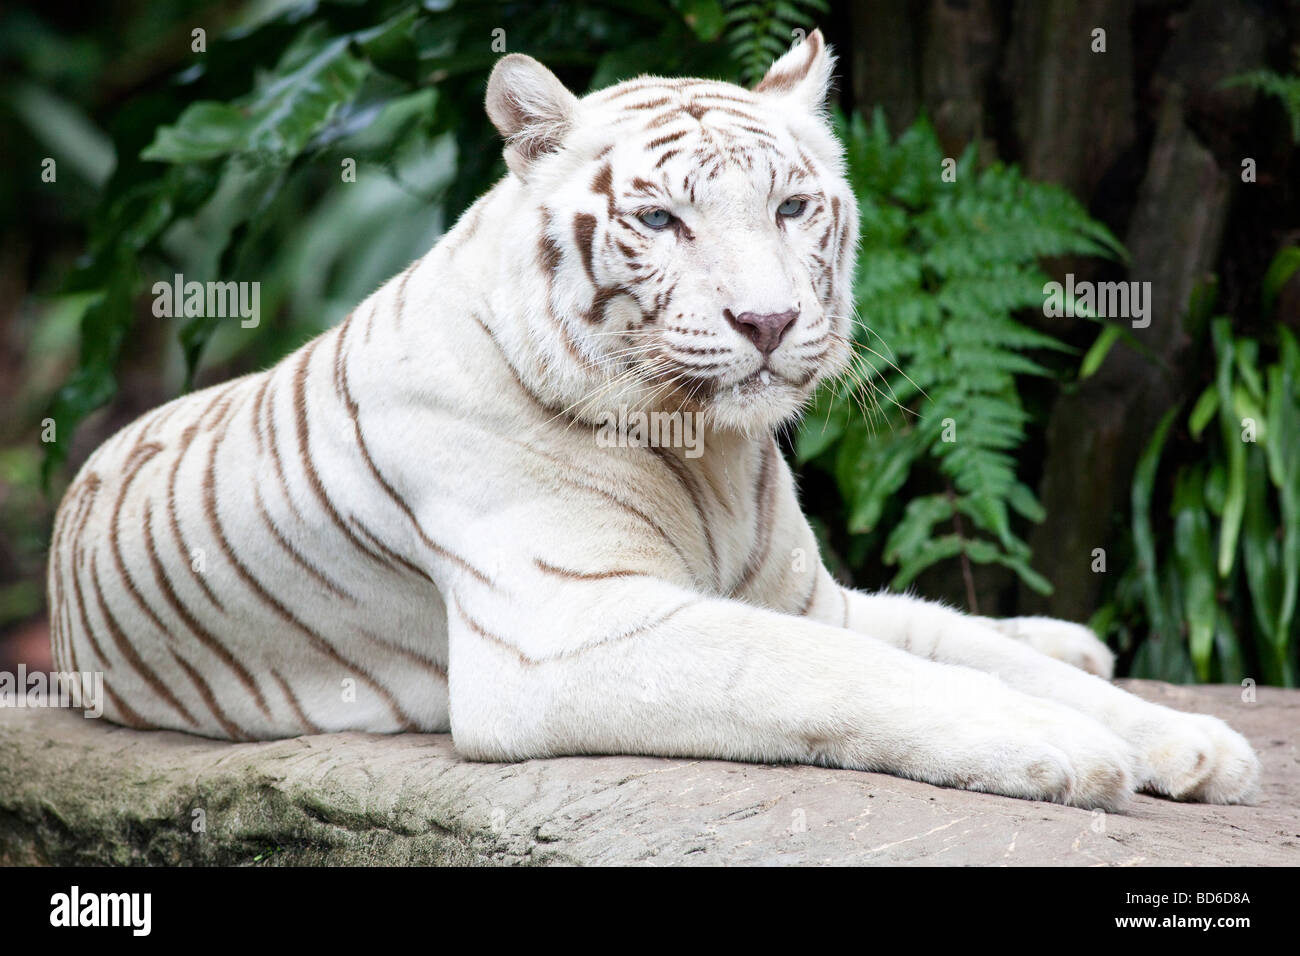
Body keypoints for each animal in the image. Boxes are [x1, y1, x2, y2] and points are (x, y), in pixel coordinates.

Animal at [46, 31, 1260, 810]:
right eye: (663, 220)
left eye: (792, 206)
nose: (768, 319)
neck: (707, 452)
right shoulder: (564, 632)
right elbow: (843, 674)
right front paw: (1065, 747)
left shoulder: (804, 596)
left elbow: (957, 653)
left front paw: (1196, 742)